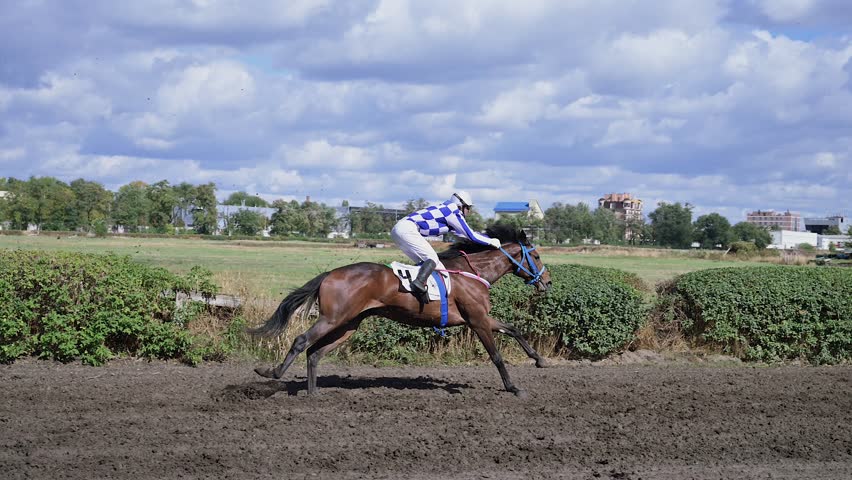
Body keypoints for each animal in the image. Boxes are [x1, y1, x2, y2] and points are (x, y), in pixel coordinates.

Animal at [250, 225, 552, 398]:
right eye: (537, 256)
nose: (547, 283)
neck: (473, 273)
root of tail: (330, 274)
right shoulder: (477, 320)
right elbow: (496, 355)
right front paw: (513, 387)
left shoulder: (481, 318)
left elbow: (514, 329)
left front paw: (539, 360)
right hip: (333, 318)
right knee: (302, 341)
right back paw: (271, 373)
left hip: (349, 324)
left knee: (315, 352)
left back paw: (313, 394)